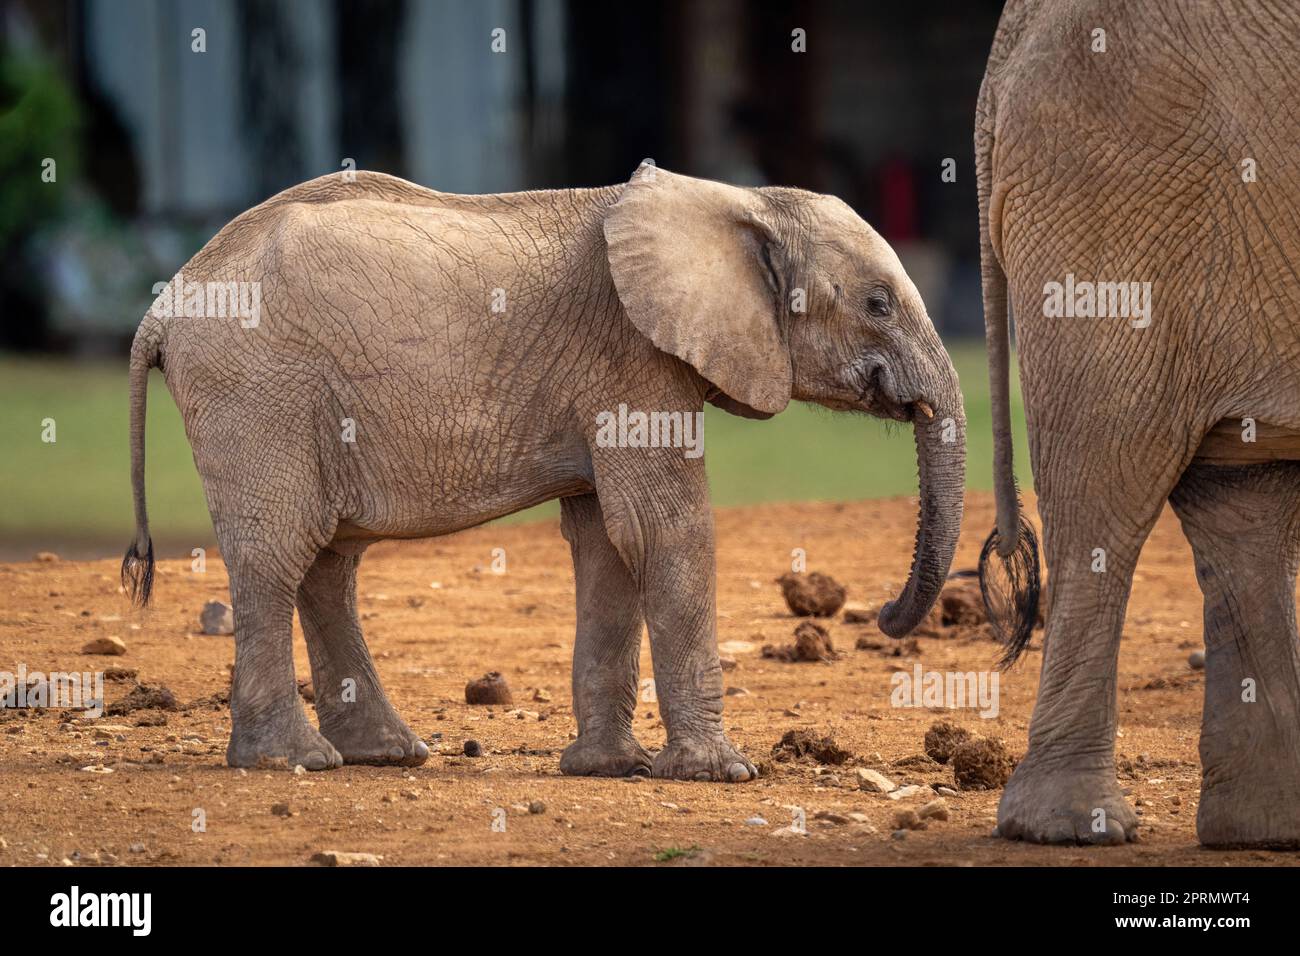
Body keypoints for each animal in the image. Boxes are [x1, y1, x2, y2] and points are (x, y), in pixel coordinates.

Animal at [121, 163, 966, 778]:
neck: (740, 199)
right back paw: (291, 762)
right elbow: (666, 531)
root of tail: (162, 306)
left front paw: (610, 770)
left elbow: (609, 545)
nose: (883, 613)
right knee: (278, 555)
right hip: (258, 393)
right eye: (879, 303)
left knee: (328, 561)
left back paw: (384, 754)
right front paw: (724, 773)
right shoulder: (632, 358)